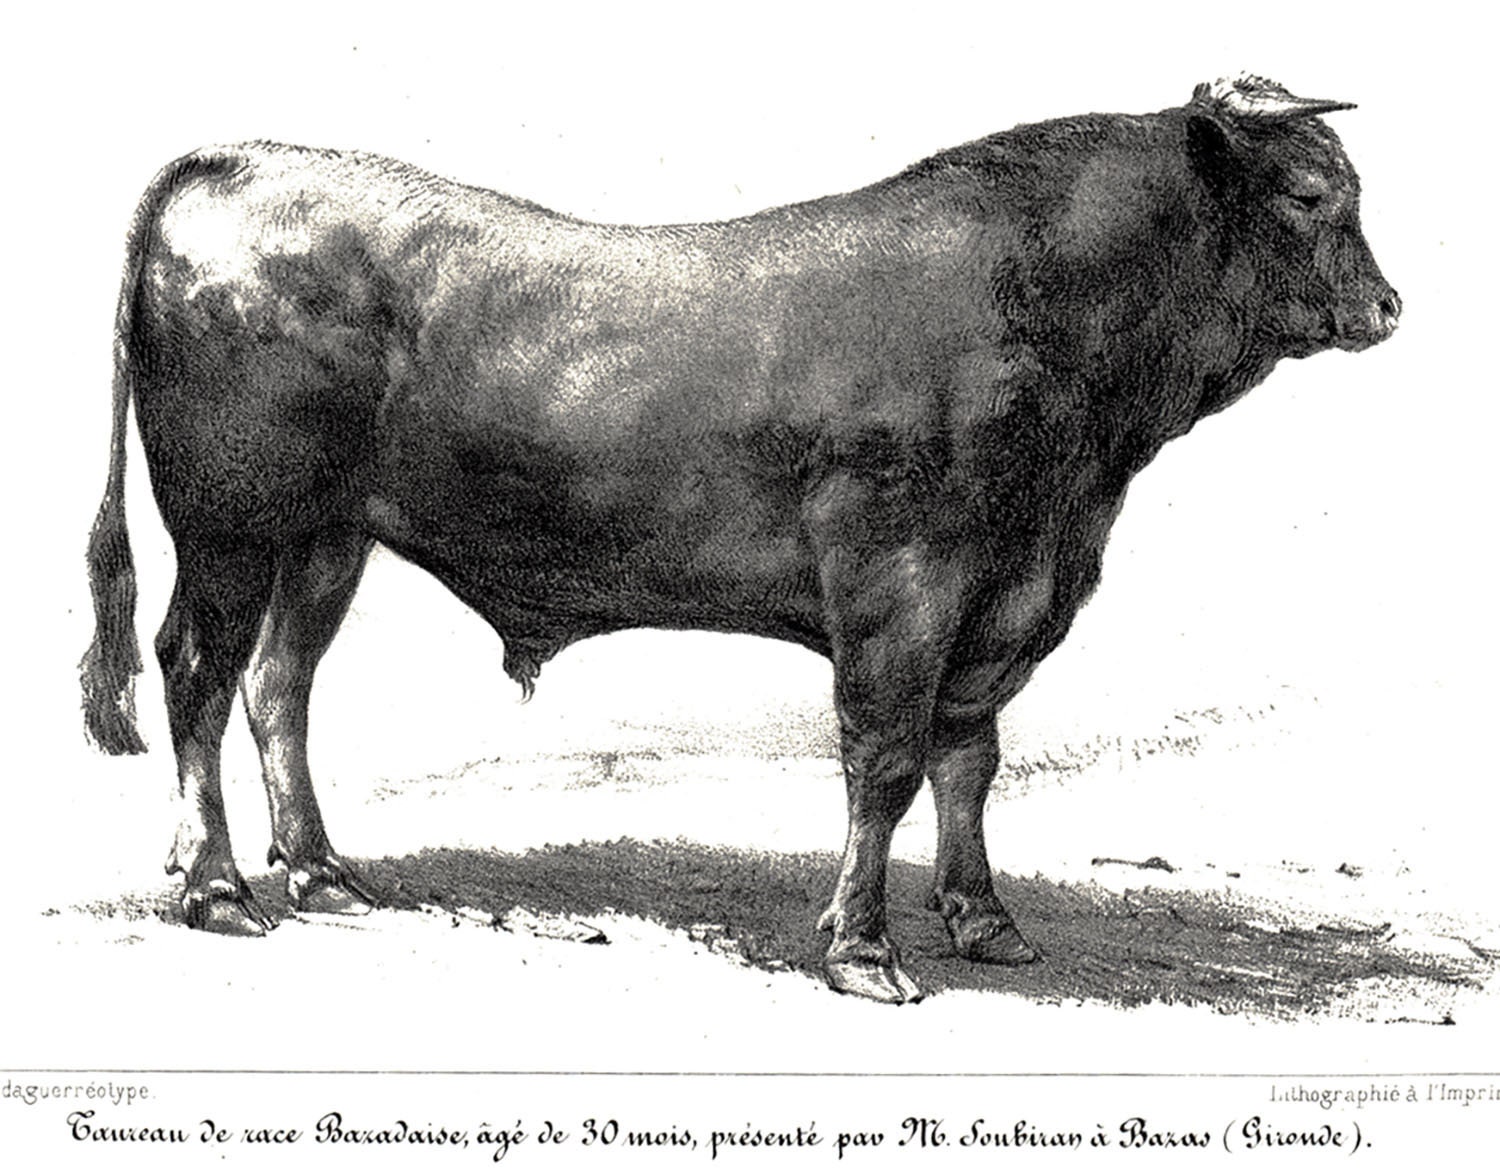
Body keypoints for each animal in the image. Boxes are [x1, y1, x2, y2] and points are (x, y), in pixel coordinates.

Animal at [81, 76, 1398, 1002]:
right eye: (1308, 195)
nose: (1388, 306)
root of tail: (233, 164)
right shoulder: (898, 581)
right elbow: (887, 760)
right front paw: (863, 950)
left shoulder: (1005, 594)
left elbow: (969, 756)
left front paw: (986, 923)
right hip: (229, 522)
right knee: (197, 672)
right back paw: (217, 886)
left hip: (327, 533)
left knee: (280, 682)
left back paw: (322, 871)